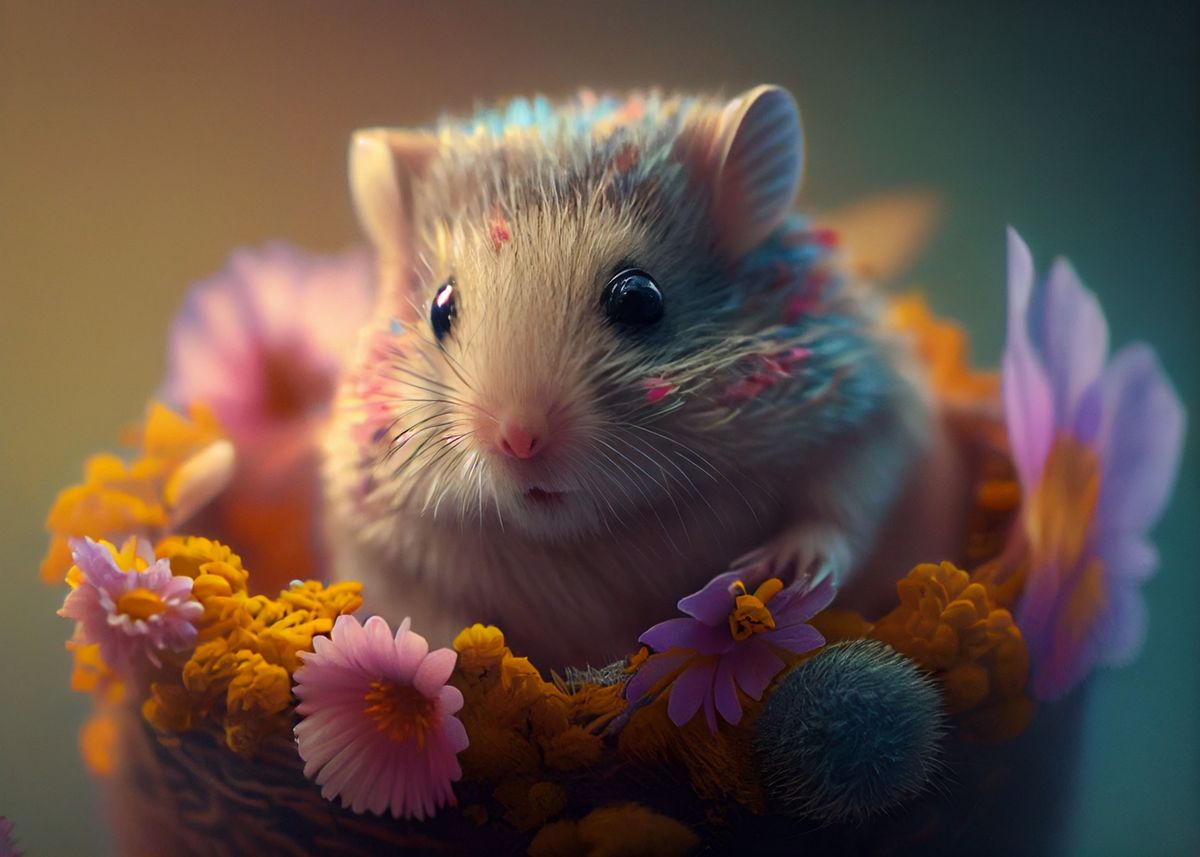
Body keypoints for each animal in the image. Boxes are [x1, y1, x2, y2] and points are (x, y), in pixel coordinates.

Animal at [323, 85, 964, 669]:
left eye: (638, 298)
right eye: (440, 307)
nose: (518, 441)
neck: (590, 532)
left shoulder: (870, 409)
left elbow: (844, 503)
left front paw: (783, 571)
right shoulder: (380, 548)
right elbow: (434, 618)